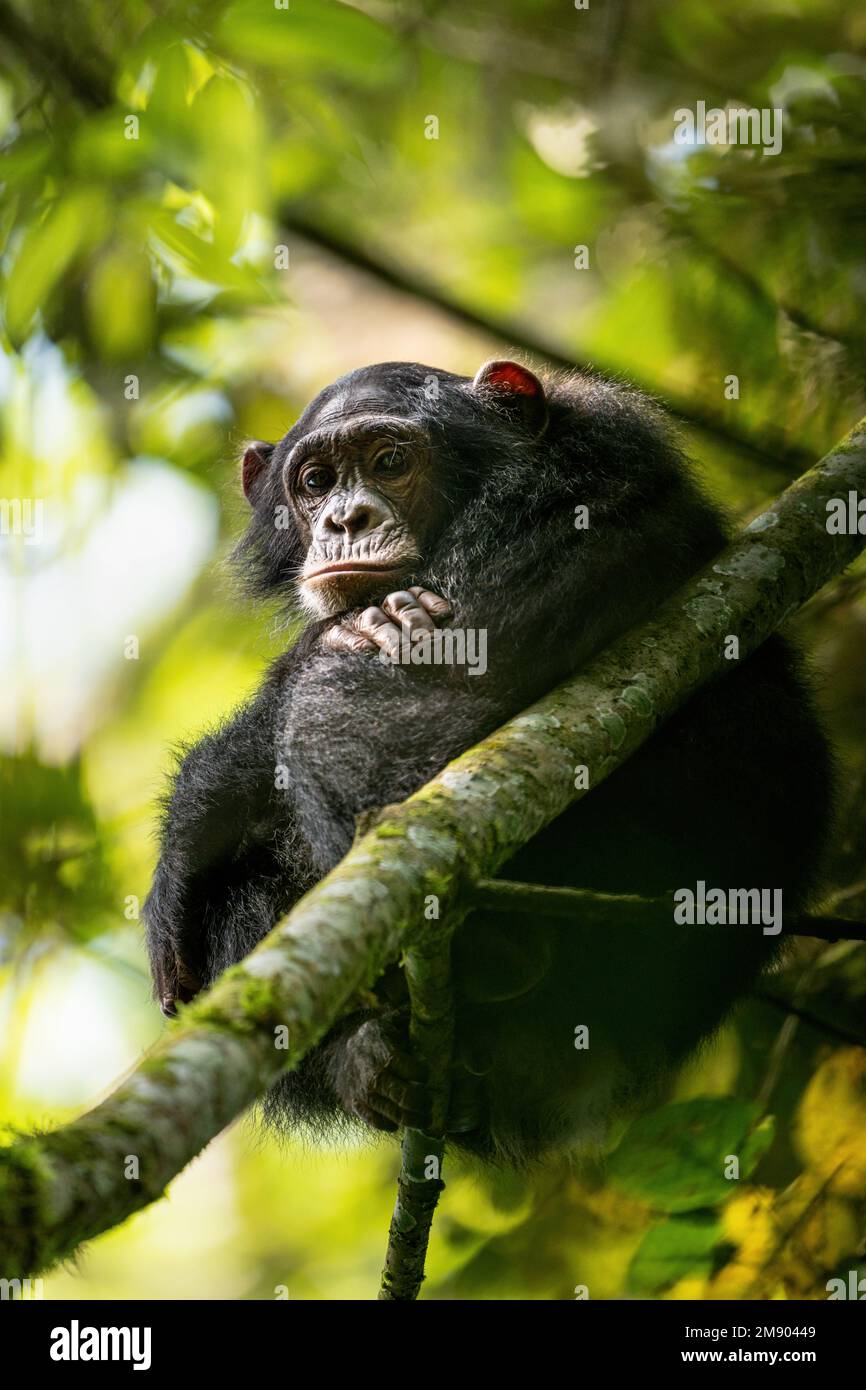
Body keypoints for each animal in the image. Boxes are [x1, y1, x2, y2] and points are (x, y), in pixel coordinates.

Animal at [144, 359, 833, 1165]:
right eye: (315, 481)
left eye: (390, 461)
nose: (346, 519)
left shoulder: (576, 490)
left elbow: (461, 673)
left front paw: (196, 811)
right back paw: (368, 1062)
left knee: (332, 717)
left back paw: (495, 947)